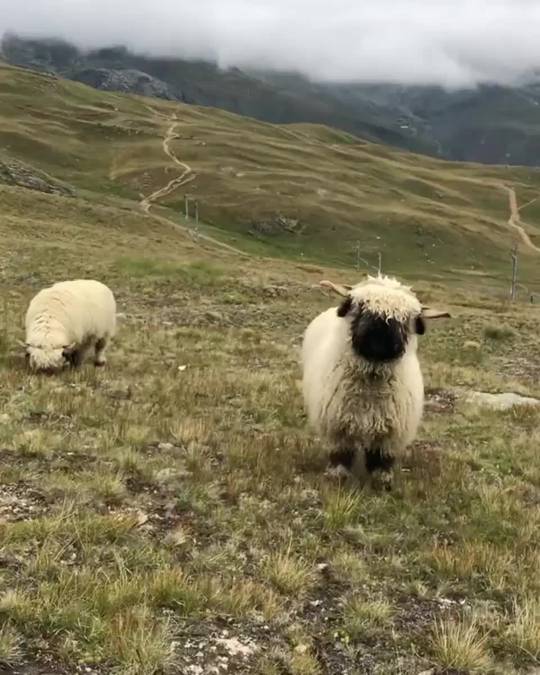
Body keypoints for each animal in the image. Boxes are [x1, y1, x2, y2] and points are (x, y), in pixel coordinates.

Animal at [301, 274, 450, 489]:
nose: (381, 330)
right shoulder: (338, 427)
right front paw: (338, 478)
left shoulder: (389, 434)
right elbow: (341, 456)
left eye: (405, 318)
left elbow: (381, 461)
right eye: (362, 305)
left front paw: (382, 484)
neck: (370, 386)